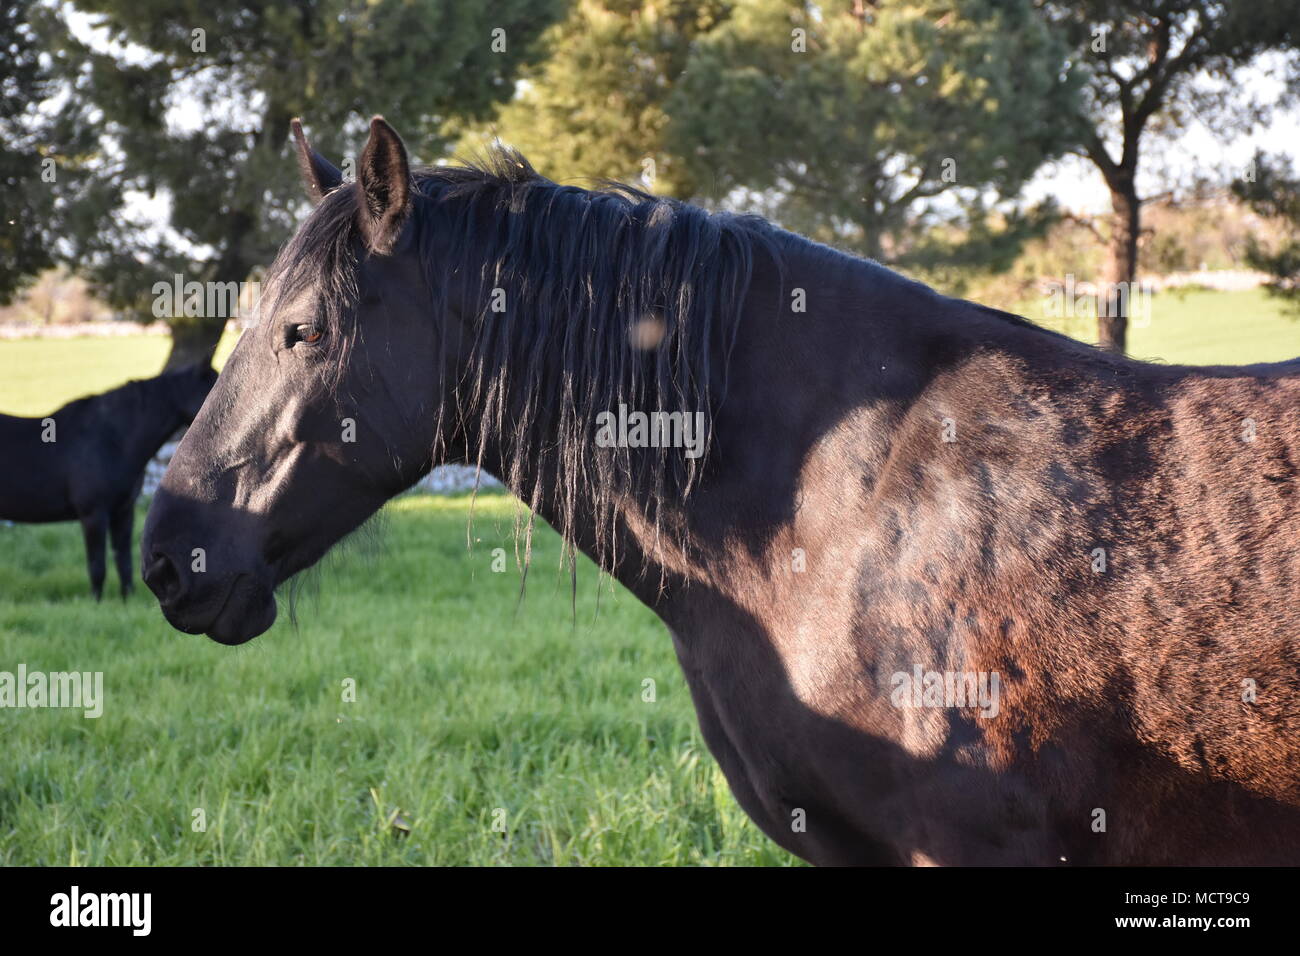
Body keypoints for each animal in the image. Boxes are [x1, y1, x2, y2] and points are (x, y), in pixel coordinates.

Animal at [1, 363, 216, 599]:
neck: (111, 439)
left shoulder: (123, 512)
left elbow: (124, 562)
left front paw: (126, 599)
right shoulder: (93, 515)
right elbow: (97, 566)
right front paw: (95, 601)